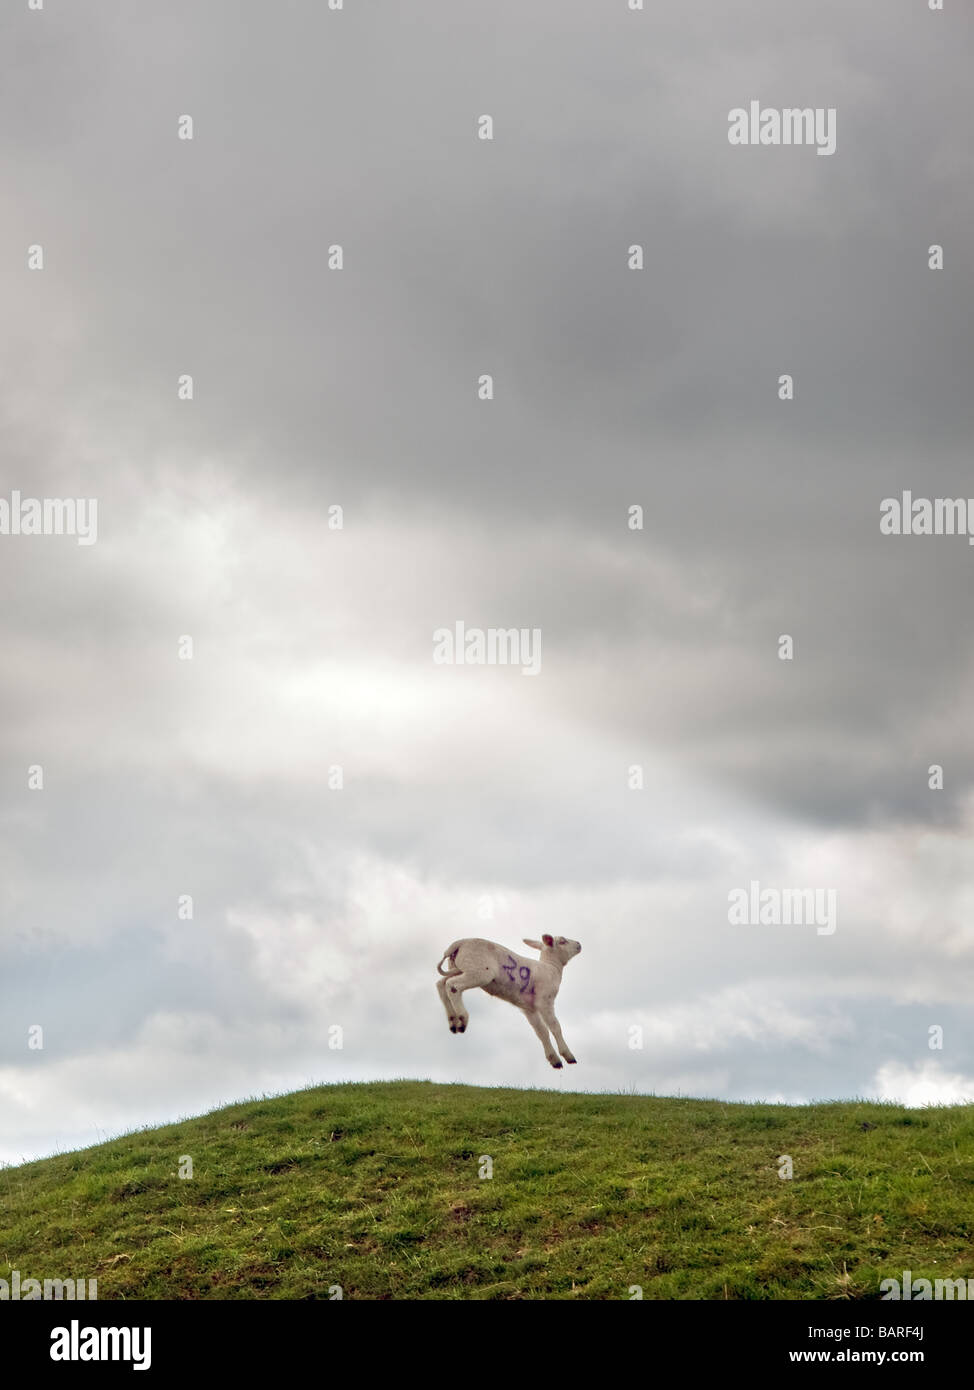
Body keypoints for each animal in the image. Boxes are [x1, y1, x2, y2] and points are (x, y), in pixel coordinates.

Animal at [435, 934, 581, 1069]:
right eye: (563, 941)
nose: (579, 944)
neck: (551, 968)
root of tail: (458, 943)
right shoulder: (544, 1000)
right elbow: (555, 1026)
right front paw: (568, 1055)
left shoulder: (529, 1009)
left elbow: (541, 1032)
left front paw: (554, 1060)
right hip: (479, 971)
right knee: (452, 986)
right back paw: (462, 1018)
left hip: (457, 968)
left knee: (441, 984)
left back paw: (453, 1021)